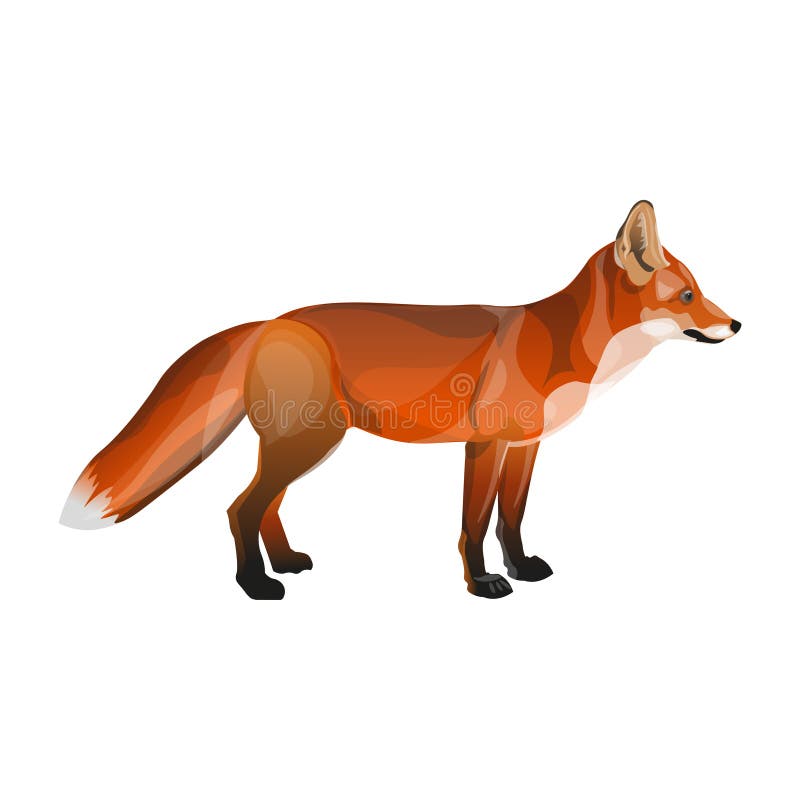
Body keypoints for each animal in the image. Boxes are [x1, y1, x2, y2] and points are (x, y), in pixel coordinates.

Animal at [61, 201, 740, 599]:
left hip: (302, 444)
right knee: (238, 509)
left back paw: (285, 562)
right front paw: (483, 583)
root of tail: (269, 321)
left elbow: (512, 519)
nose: (736, 324)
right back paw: (255, 584)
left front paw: (521, 568)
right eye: (686, 297)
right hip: (308, 441)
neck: (562, 343)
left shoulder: (526, 446)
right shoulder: (484, 442)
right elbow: (473, 523)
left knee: (265, 507)